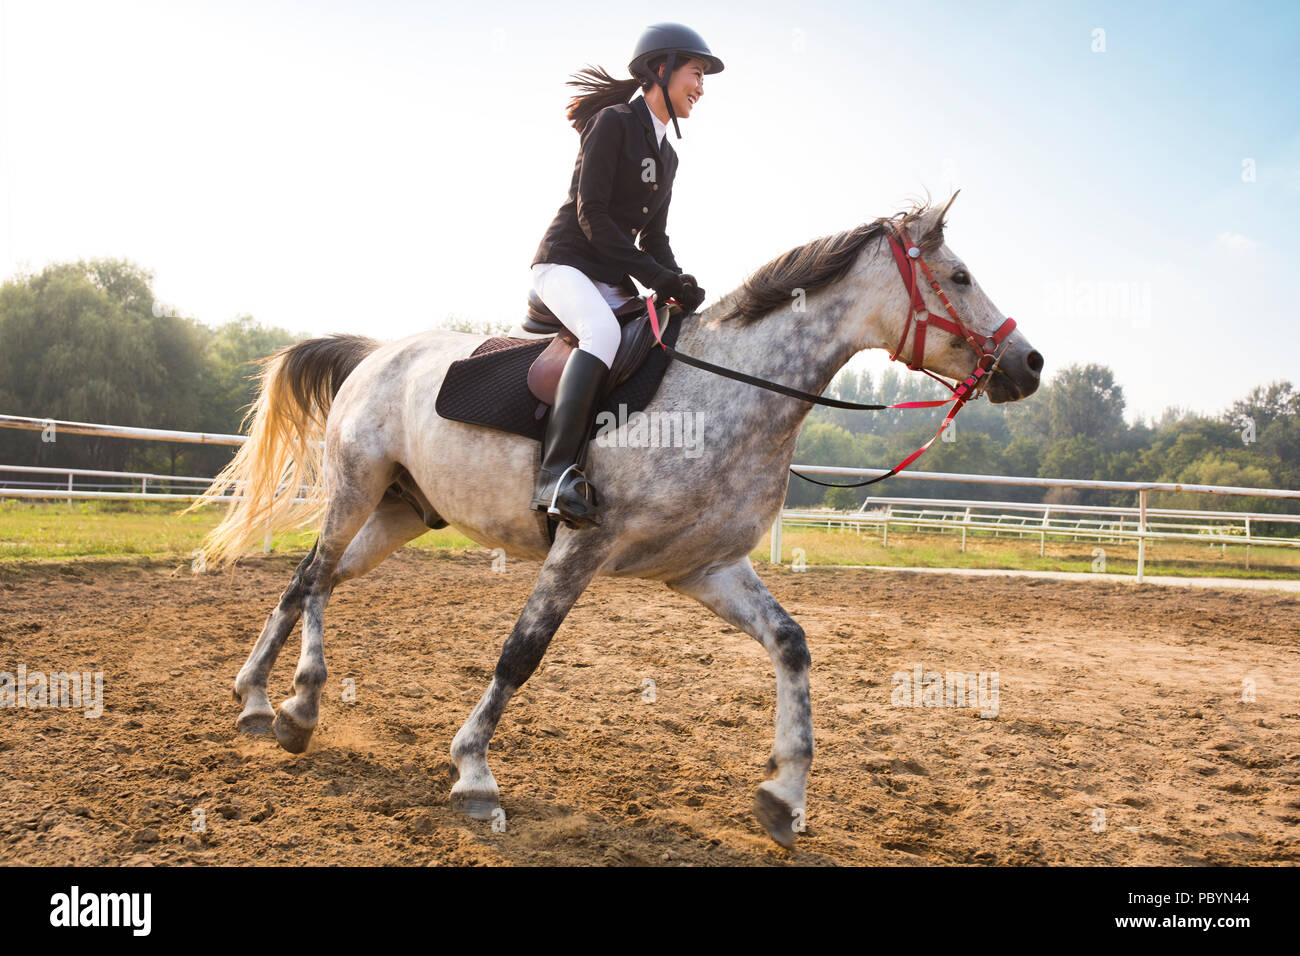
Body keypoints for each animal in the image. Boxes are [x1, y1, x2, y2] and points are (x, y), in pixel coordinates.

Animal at [187, 194, 1043, 849]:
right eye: (960, 276)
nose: (1029, 364)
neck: (730, 392)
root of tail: (376, 352)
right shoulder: (581, 546)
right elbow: (519, 656)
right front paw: (474, 775)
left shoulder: (705, 568)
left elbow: (793, 647)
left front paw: (784, 797)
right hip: (355, 488)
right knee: (311, 579)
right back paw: (290, 701)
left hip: (400, 512)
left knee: (313, 581)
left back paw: (270, 702)